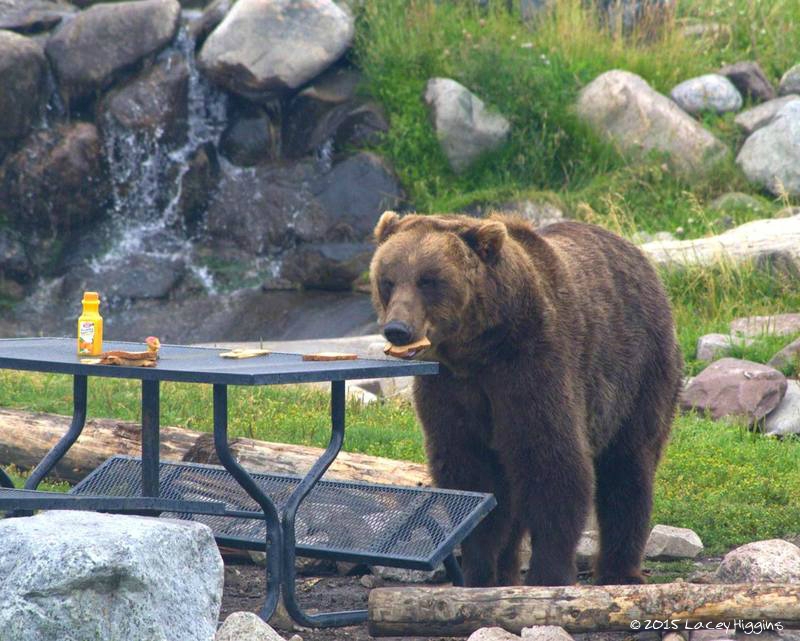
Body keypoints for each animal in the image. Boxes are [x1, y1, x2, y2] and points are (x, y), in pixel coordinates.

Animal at [369, 211, 682, 587]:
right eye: (387, 280)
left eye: (428, 280)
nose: (398, 329)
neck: (480, 350)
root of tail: (636, 253)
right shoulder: (450, 387)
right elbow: (468, 471)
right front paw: (480, 572)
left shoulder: (532, 367)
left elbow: (552, 462)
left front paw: (549, 574)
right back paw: (507, 571)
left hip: (639, 370)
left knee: (628, 467)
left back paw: (620, 571)